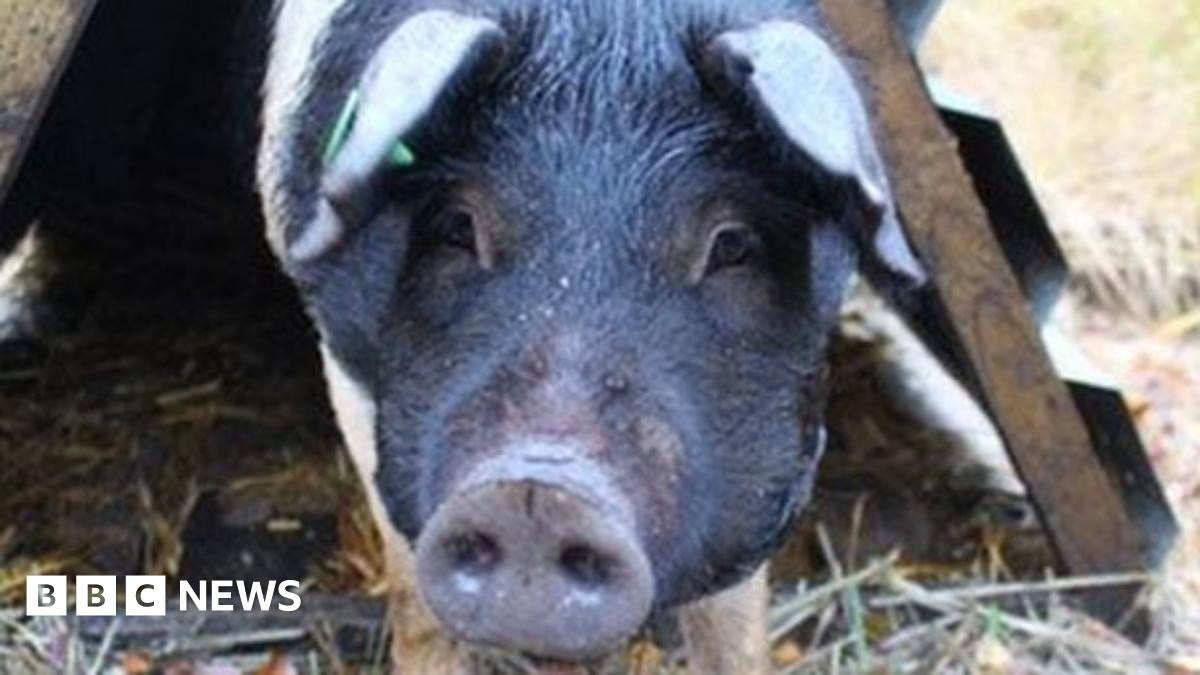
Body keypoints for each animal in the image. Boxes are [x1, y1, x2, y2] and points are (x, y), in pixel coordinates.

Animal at [256, 0, 926, 671]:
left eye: (732, 245)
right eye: (457, 226)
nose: (536, 488)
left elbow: (731, 617)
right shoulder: (344, 355)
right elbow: (414, 596)